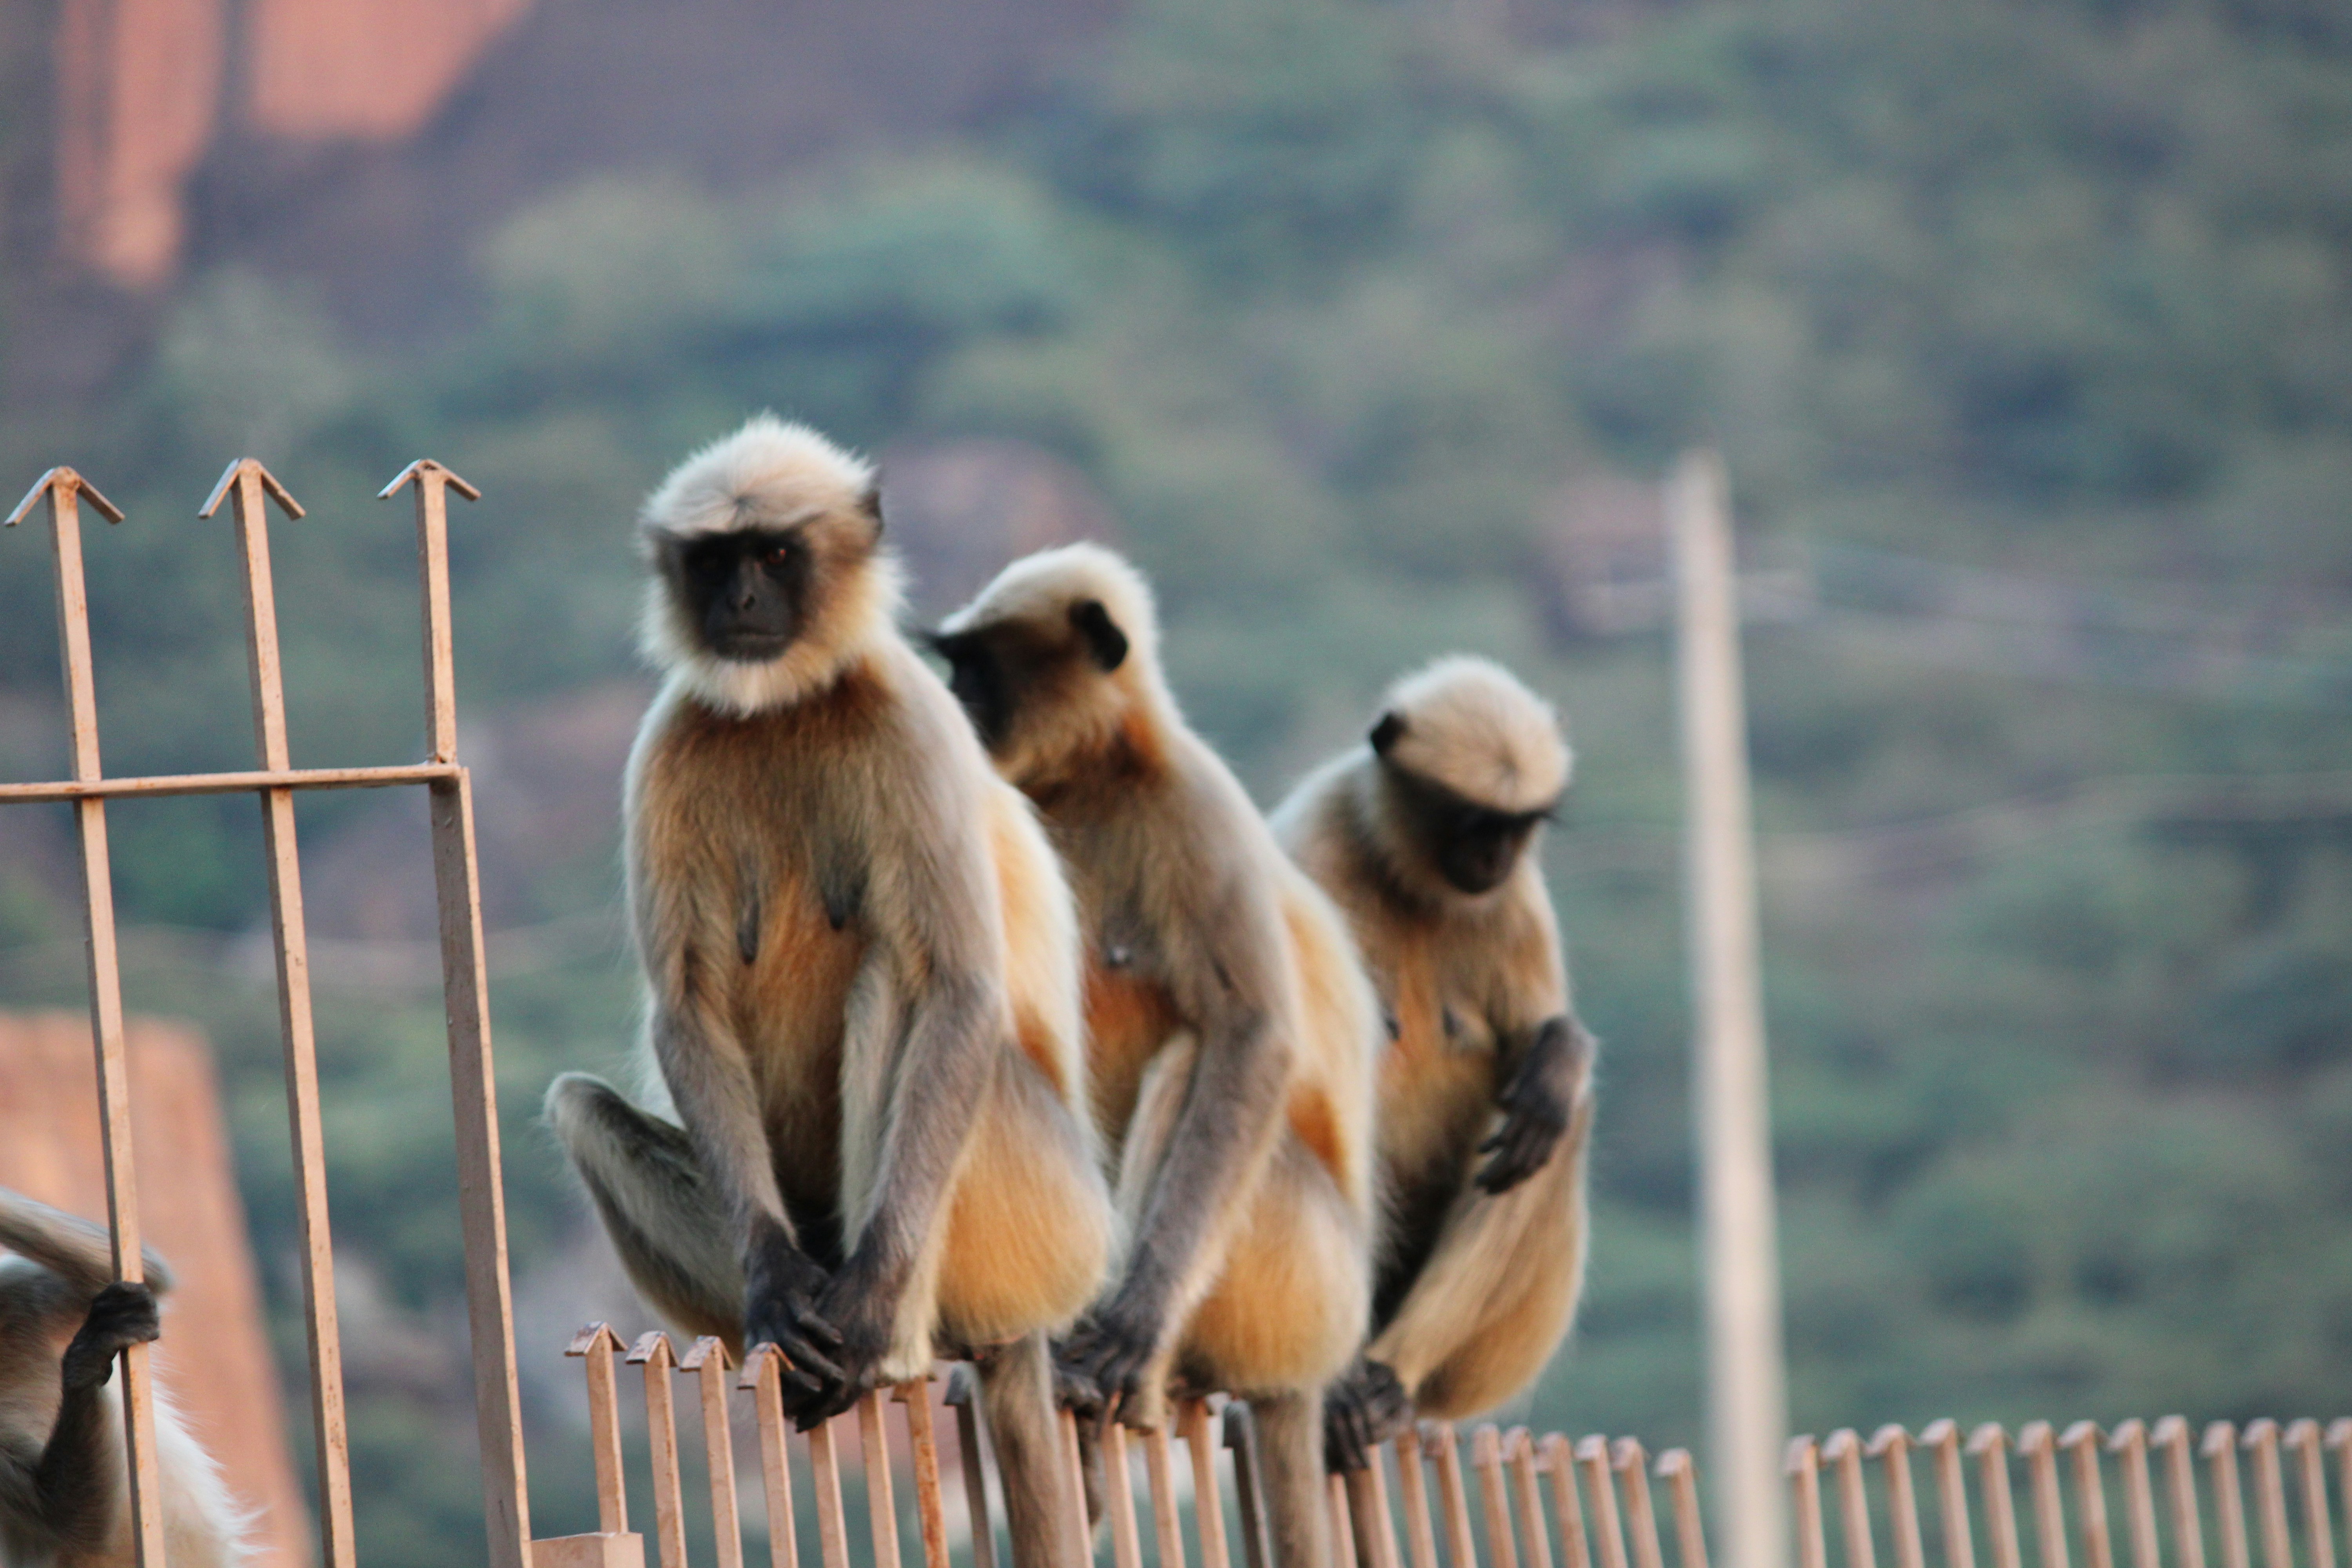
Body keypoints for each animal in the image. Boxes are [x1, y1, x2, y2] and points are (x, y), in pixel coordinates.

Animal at [544, 415, 1116, 1568]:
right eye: (716, 559)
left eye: (775, 555)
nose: (740, 603)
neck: (788, 706)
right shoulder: (675, 738)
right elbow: (689, 1003)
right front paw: (773, 1288)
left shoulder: (914, 720)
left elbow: (959, 988)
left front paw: (867, 1312)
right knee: (584, 1111)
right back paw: (790, 1337)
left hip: (1038, 1217)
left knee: (903, 976)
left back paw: (882, 1342)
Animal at [932, 544, 1380, 1568]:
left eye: (979, 667)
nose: (956, 700)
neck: (1091, 774)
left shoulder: (1196, 803)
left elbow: (1251, 1034)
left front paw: (1131, 1324)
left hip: (1298, 1263)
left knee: (1196, 1055)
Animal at [1269, 655, 1596, 1473]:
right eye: (1471, 821)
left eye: (1516, 826)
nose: (1493, 856)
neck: (1408, 877)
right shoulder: (1319, 842)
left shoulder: (1513, 901)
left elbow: (1542, 1049)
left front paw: (1561, 1054)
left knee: (1556, 1120)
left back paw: (1389, 1378)